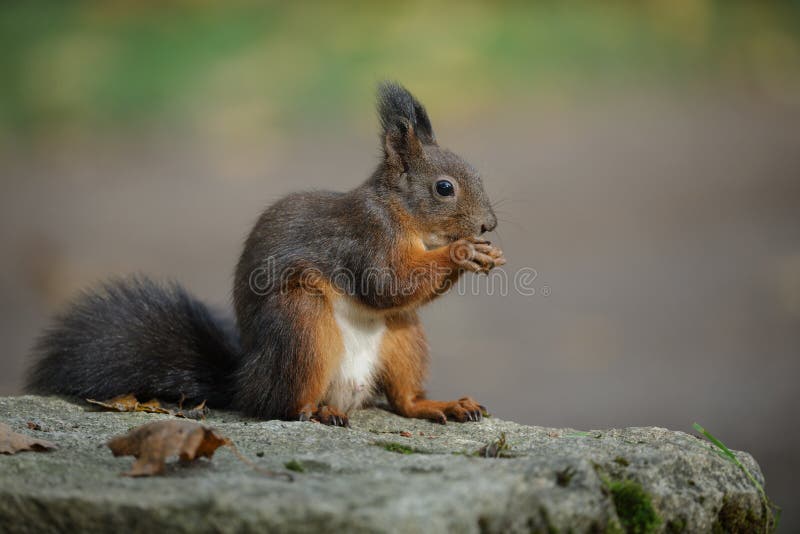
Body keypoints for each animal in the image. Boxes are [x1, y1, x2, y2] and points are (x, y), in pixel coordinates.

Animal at [26, 82, 505, 427]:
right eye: (444, 188)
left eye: (479, 174)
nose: (489, 225)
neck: (400, 213)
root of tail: (246, 384)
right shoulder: (365, 238)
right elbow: (386, 284)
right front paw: (463, 251)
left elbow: (397, 292)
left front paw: (486, 253)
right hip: (301, 323)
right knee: (282, 406)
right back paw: (317, 411)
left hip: (403, 336)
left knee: (403, 398)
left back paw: (439, 405)